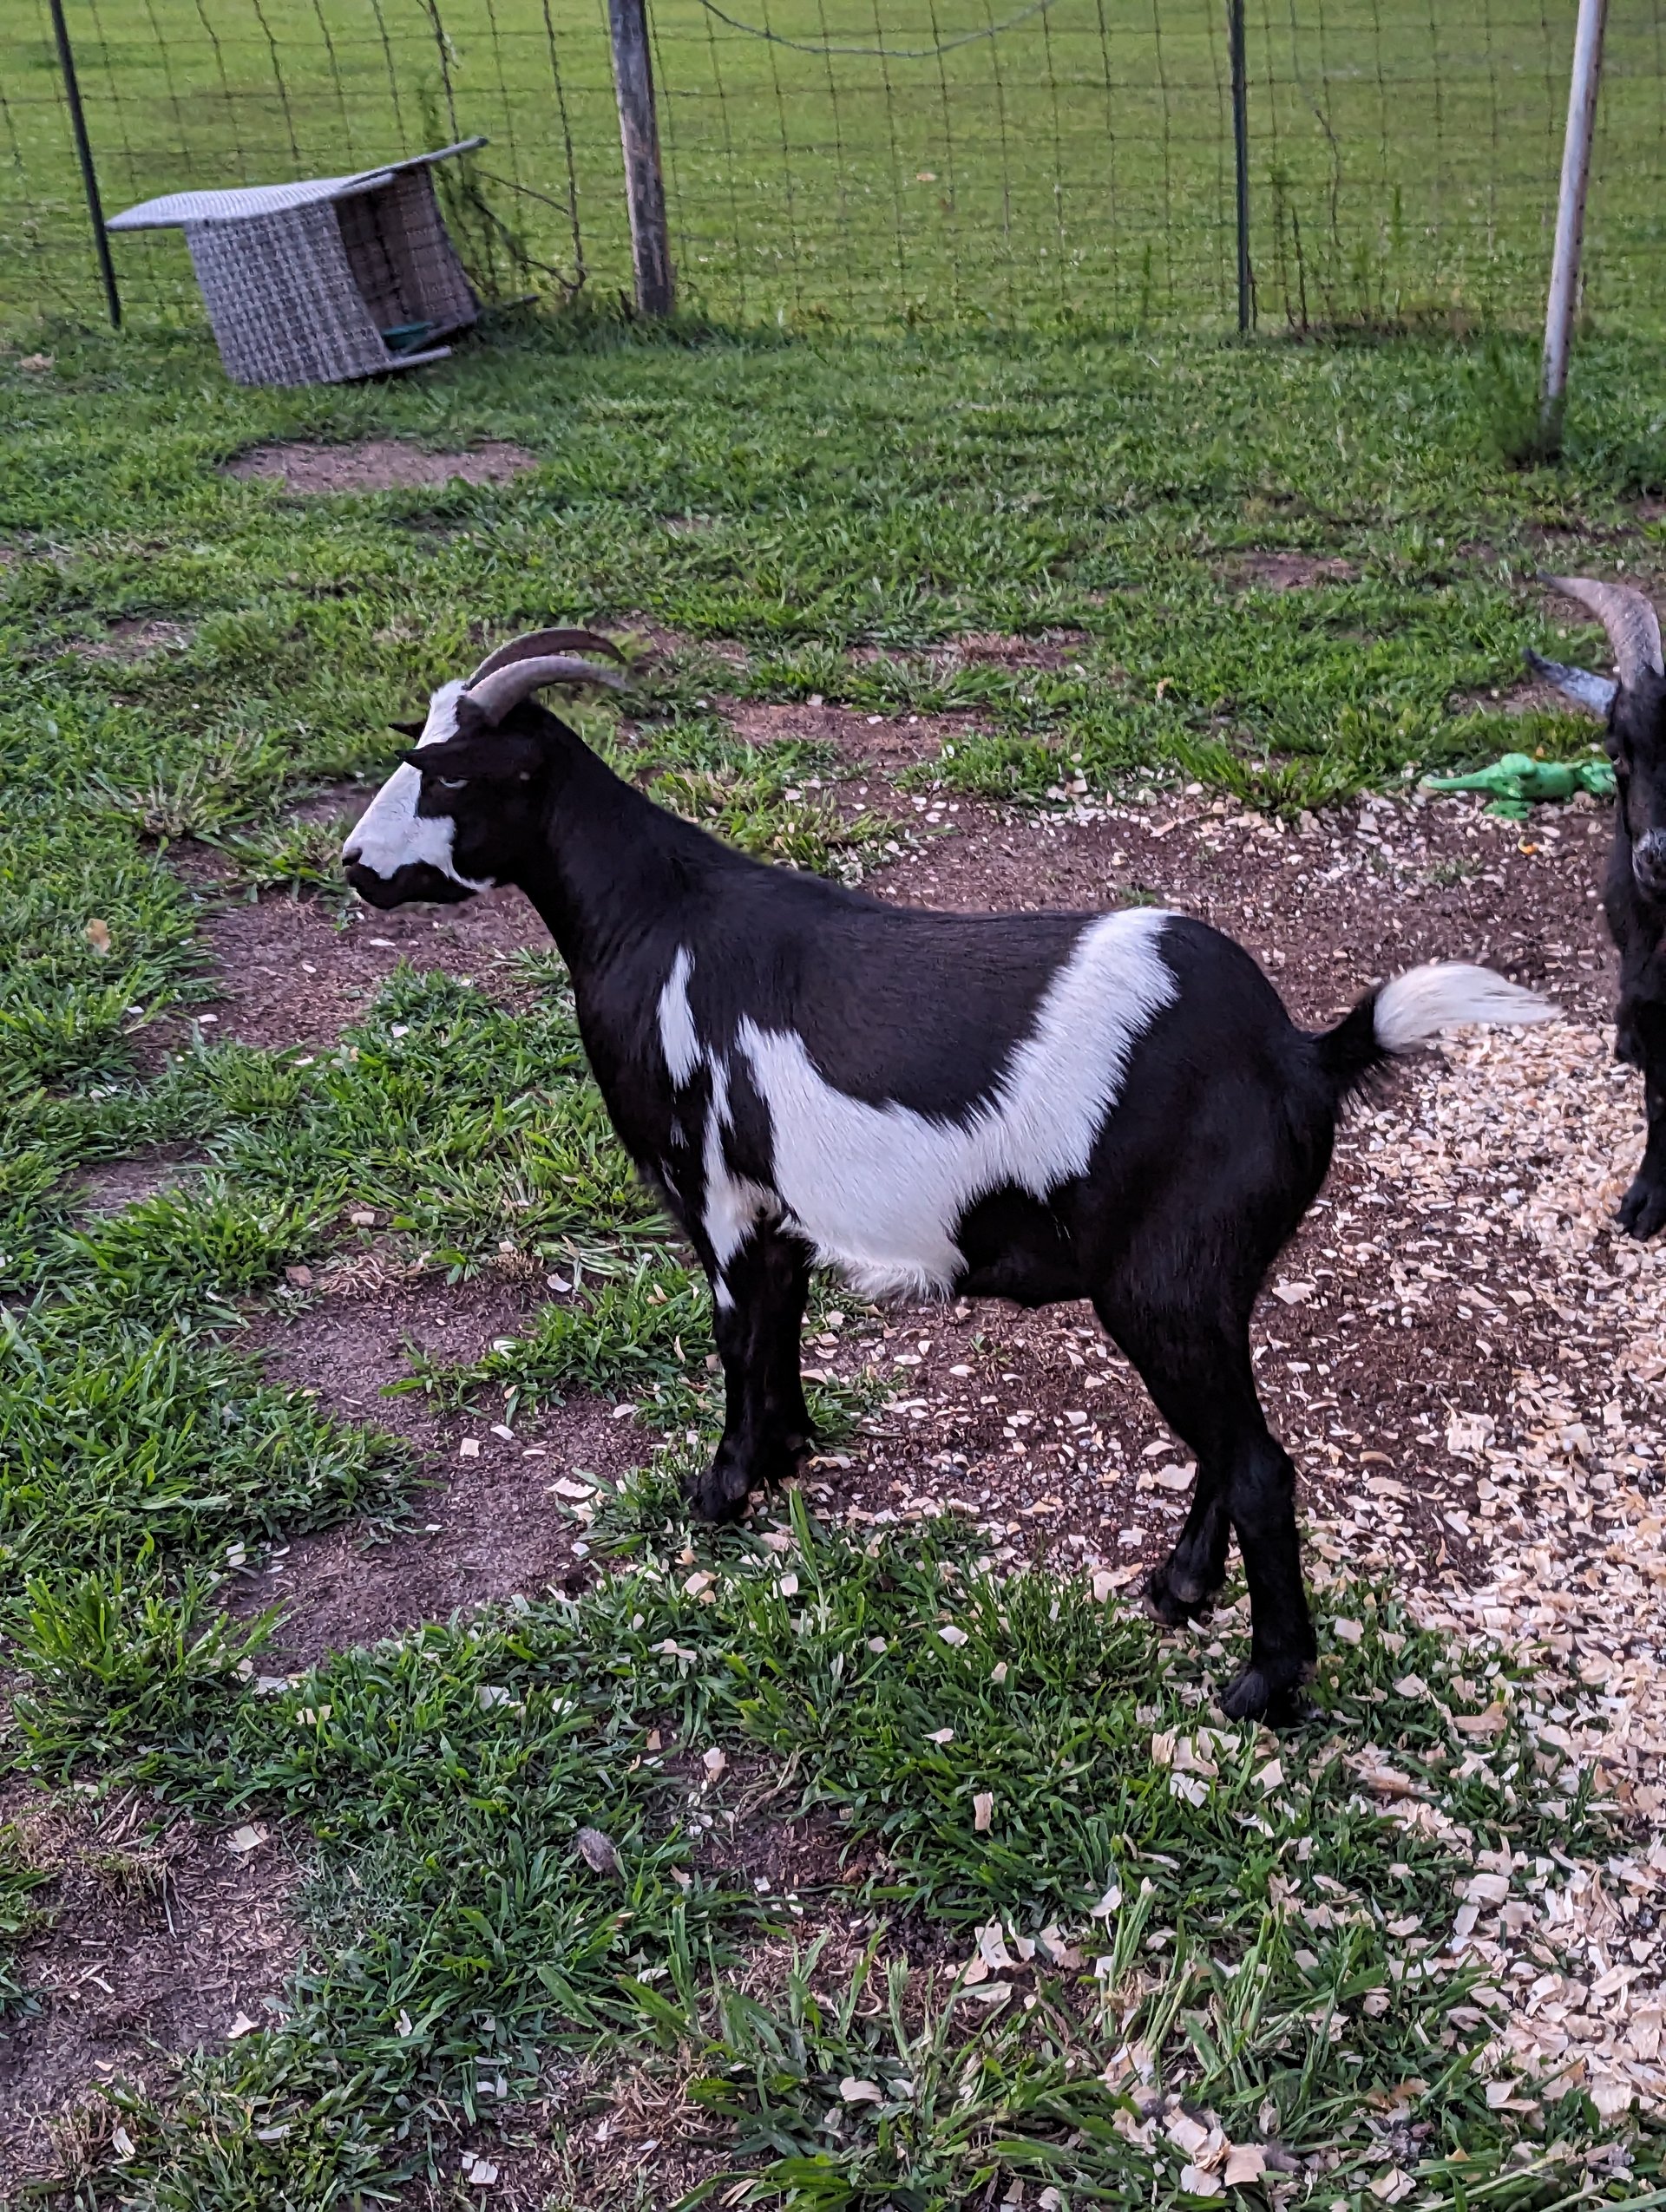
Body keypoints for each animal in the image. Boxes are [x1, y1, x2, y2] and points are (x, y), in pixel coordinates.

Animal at [343, 631, 1553, 1723]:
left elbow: (736, 1334)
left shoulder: (716, 1193)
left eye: (450, 774)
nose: (355, 869)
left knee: (1257, 1464)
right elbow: (782, 1321)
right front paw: (789, 1451)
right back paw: (1177, 1589)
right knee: (1224, 1445)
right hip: (1211, 1283)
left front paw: (721, 1490)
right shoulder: (779, 1205)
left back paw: (1263, 1684)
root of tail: (1298, 1053)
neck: (653, 919)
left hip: (1163, 1280)